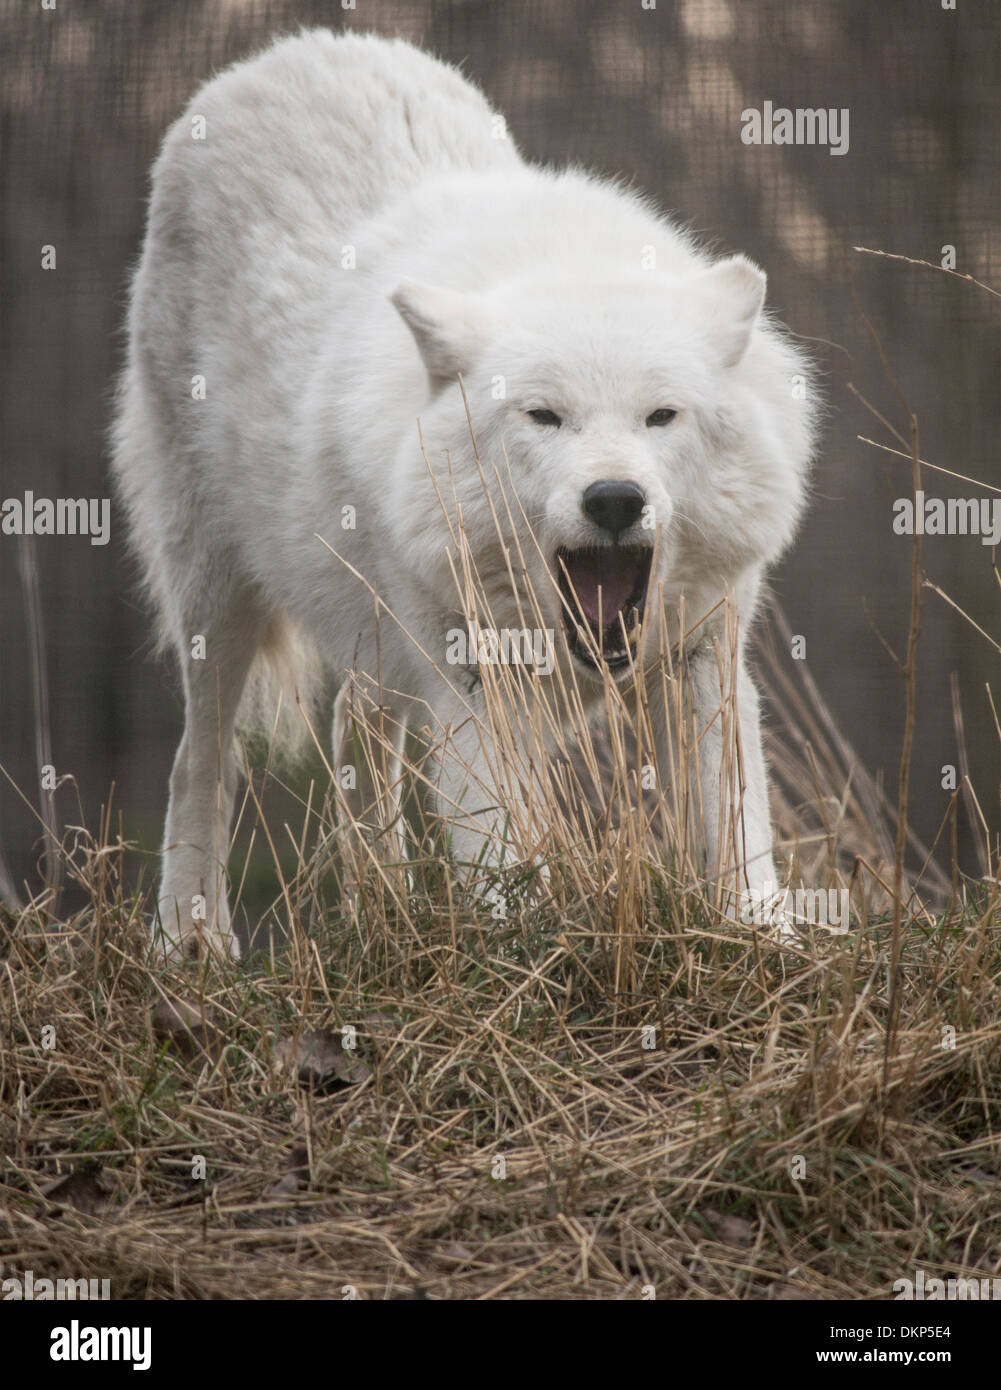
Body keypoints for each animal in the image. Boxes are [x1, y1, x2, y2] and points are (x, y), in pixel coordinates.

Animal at [112, 30, 816, 960]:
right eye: (543, 416)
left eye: (661, 416)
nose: (615, 499)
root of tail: (293, 47)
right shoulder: (471, 680)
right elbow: (501, 850)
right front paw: (530, 955)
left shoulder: (705, 651)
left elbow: (732, 819)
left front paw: (758, 938)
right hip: (217, 594)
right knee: (198, 758)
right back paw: (192, 943)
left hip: (369, 634)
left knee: (355, 733)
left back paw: (383, 923)